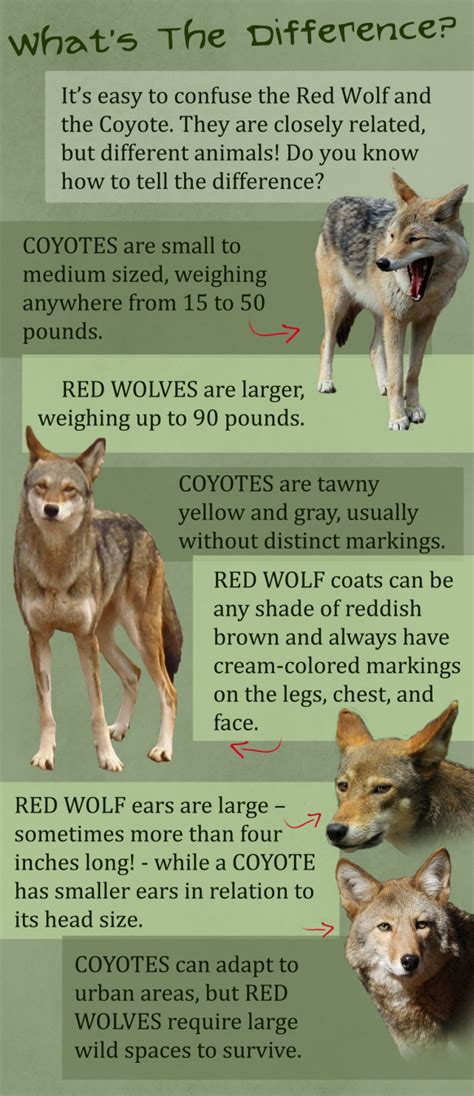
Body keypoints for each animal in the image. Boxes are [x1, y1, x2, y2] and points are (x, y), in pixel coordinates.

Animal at [14, 427, 182, 772]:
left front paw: (108, 758)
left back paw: (162, 749)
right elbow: (46, 711)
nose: (51, 509)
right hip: (105, 639)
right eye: (41, 486)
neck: (56, 566)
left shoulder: (83, 639)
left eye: (69, 490)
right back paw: (120, 729)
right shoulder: (38, 639)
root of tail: (142, 528)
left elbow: (96, 709)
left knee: (168, 691)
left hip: (140, 637)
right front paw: (45, 754)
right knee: (133, 674)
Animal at [316, 173, 469, 429]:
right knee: (326, 343)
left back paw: (383, 385)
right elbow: (398, 376)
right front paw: (398, 418)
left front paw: (413, 409)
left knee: (373, 349)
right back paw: (326, 382)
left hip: (380, 315)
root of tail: (338, 201)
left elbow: (412, 372)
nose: (381, 263)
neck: (420, 297)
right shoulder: (397, 321)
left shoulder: (425, 322)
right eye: (392, 236)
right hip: (337, 305)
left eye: (414, 239)